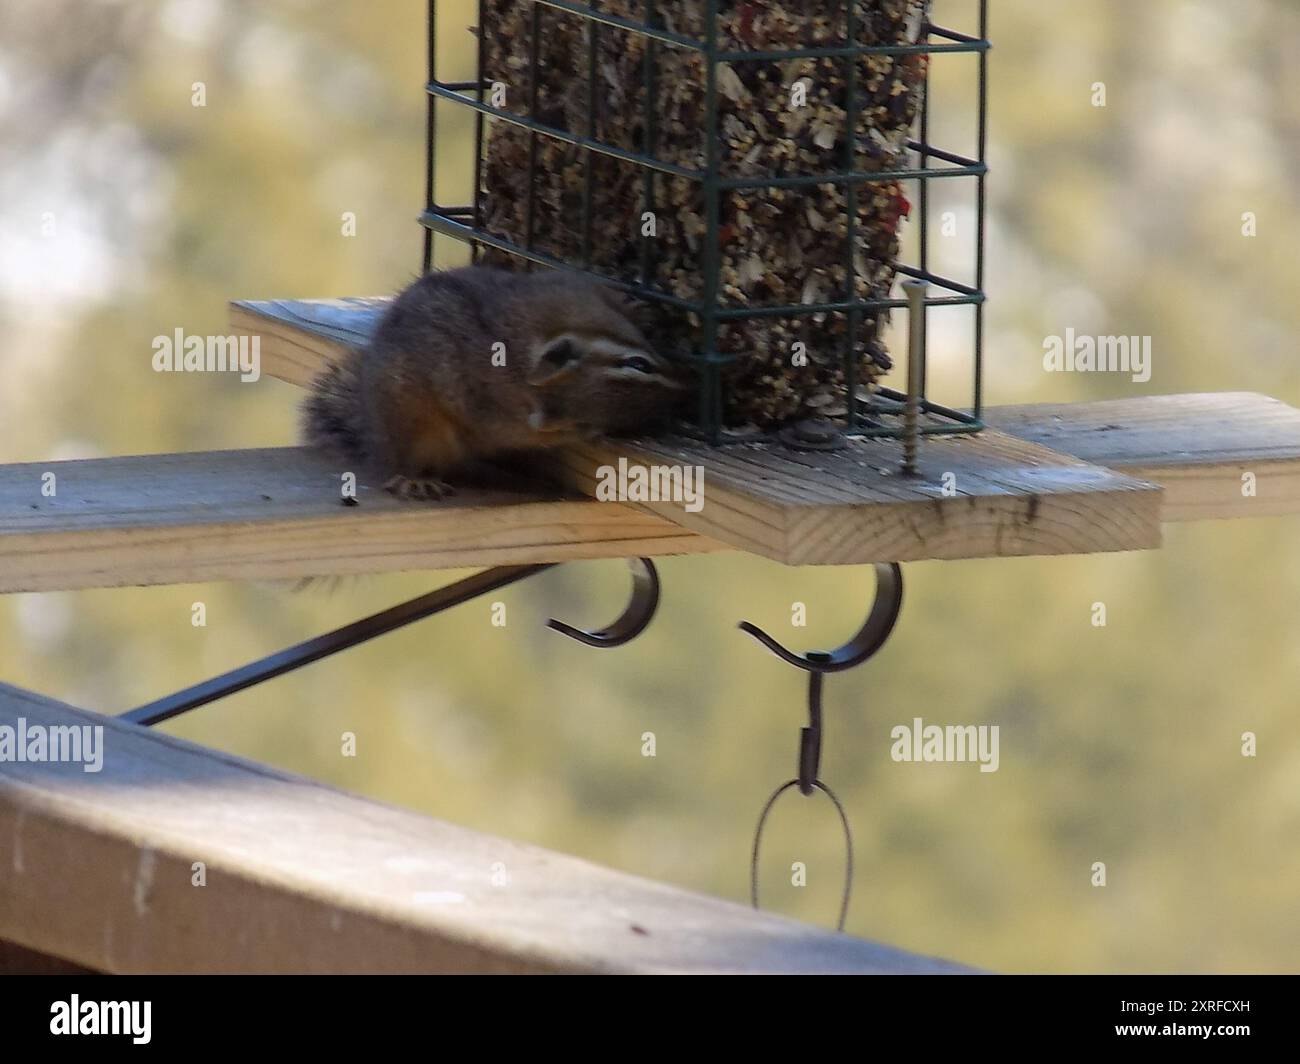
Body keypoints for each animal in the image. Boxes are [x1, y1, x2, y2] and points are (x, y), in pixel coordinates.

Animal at [301, 266, 689, 498]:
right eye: (637, 364)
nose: (684, 386)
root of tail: (372, 432)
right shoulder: (497, 408)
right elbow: (531, 428)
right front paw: (584, 428)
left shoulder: (563, 291)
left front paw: (633, 303)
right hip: (416, 427)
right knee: (406, 458)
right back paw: (415, 478)